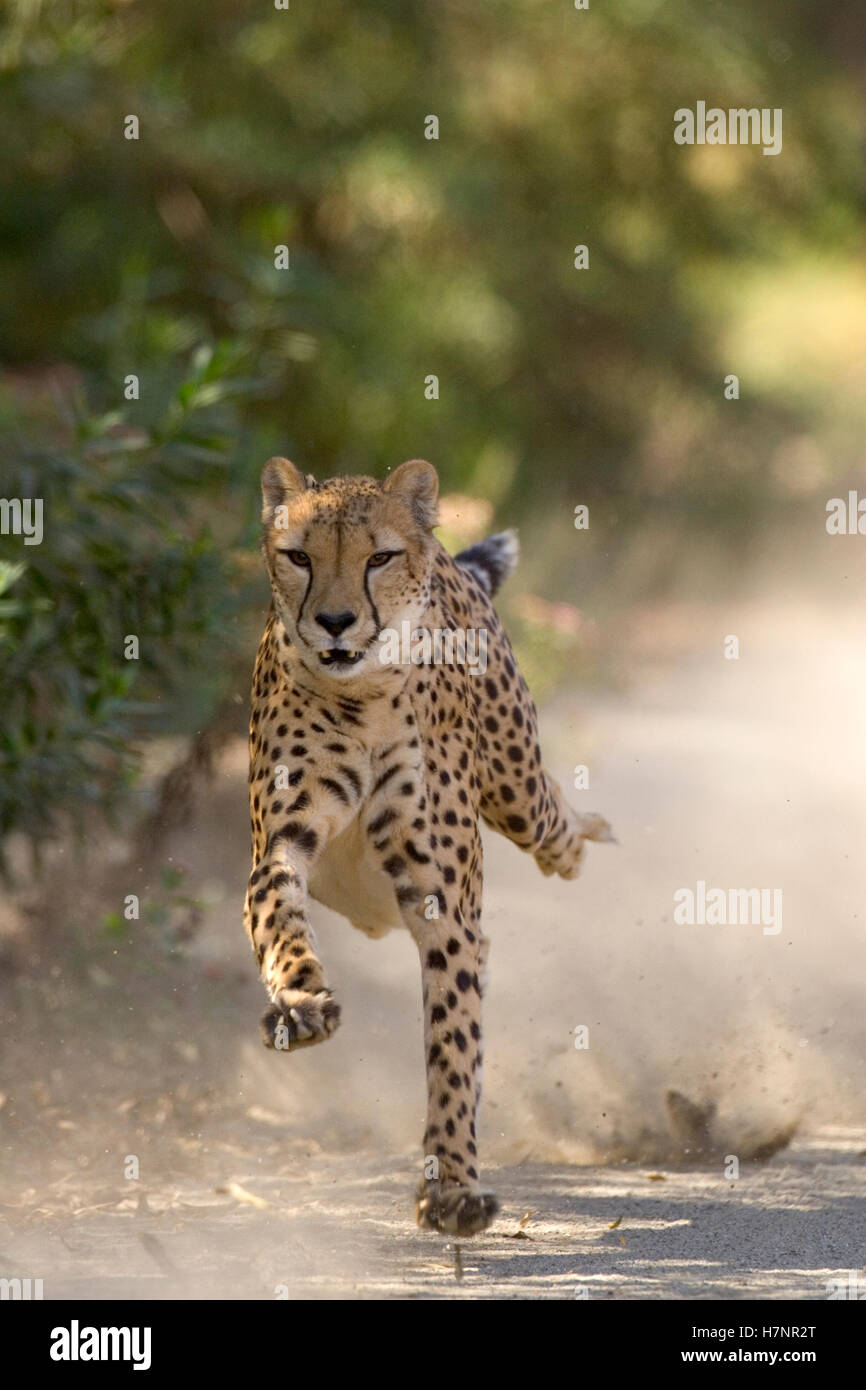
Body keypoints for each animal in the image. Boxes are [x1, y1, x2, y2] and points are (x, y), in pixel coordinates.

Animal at [244, 456, 612, 1236]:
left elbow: (452, 1042)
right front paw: (301, 1003)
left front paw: (451, 1191)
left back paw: (585, 834)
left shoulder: (445, 907)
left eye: (379, 557)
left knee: (553, 822)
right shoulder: (280, 846)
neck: (361, 693)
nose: (335, 622)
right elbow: (279, 919)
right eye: (299, 556)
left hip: (517, 791)